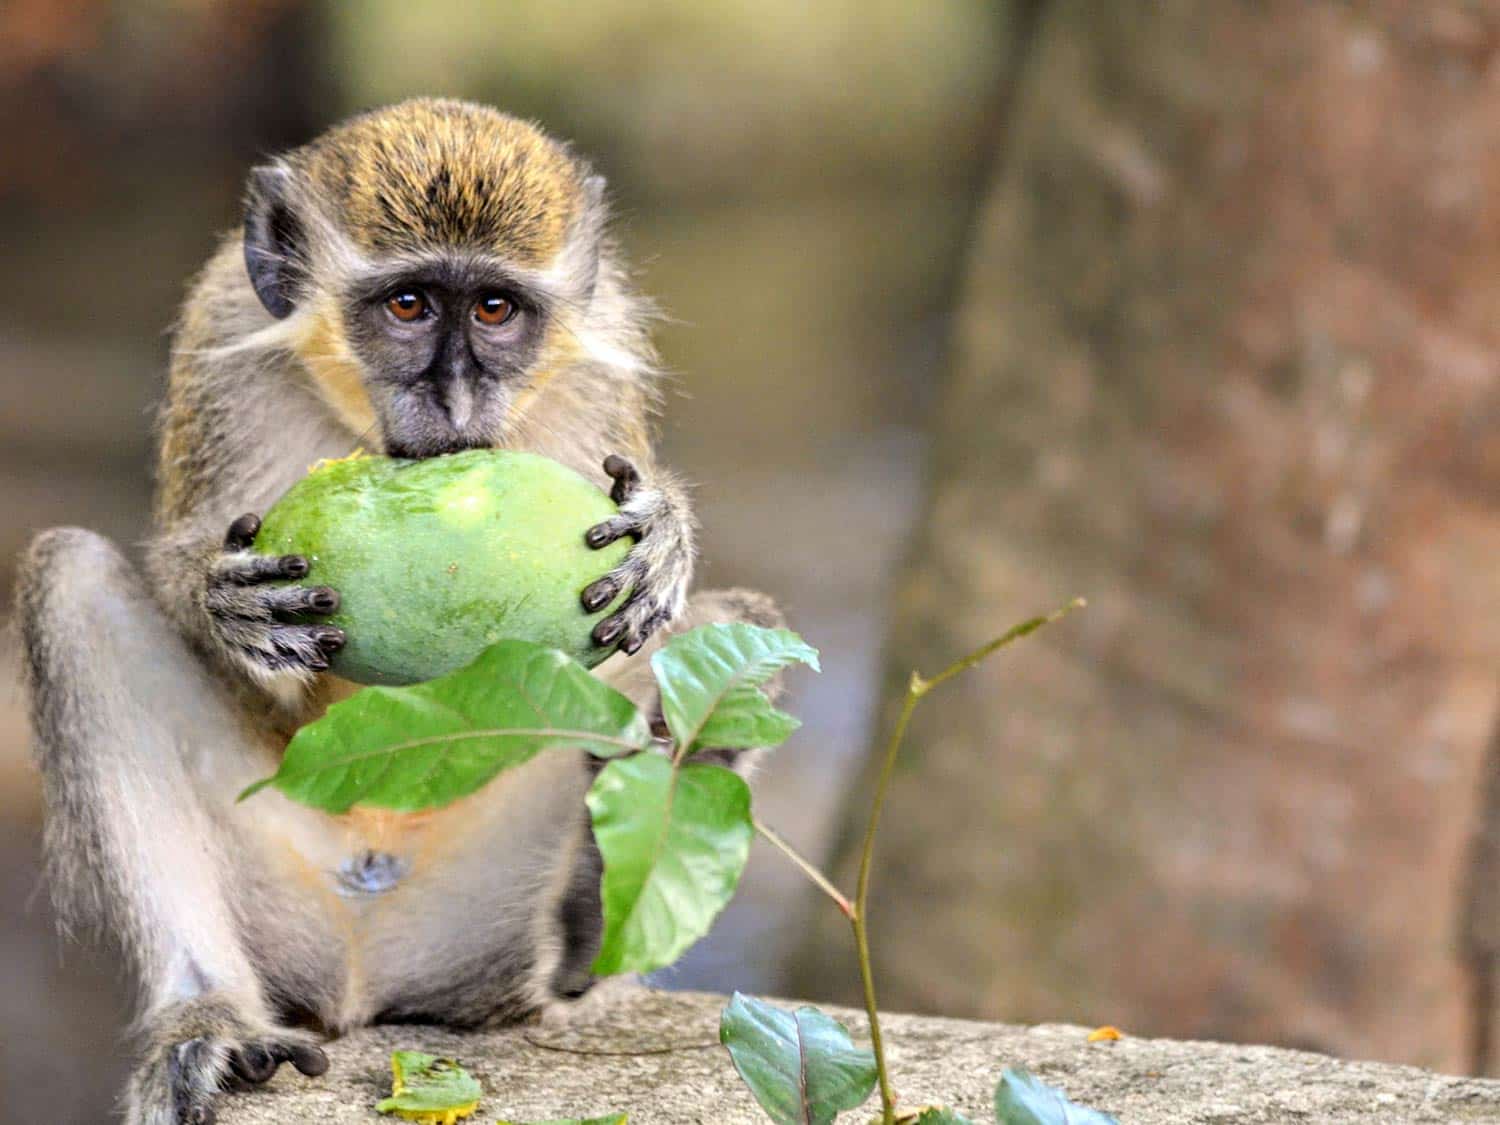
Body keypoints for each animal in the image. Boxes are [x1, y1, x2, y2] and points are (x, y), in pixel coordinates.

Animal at [16, 98, 785, 1125]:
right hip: (284, 893)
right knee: (68, 579)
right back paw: (205, 1019)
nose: (453, 396)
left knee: (733, 634)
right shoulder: (221, 326)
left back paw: (582, 928)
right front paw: (228, 607)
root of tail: (369, 979)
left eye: (495, 309)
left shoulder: (601, 348)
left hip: (478, 917)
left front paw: (664, 526)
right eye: (408, 306)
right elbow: (174, 559)